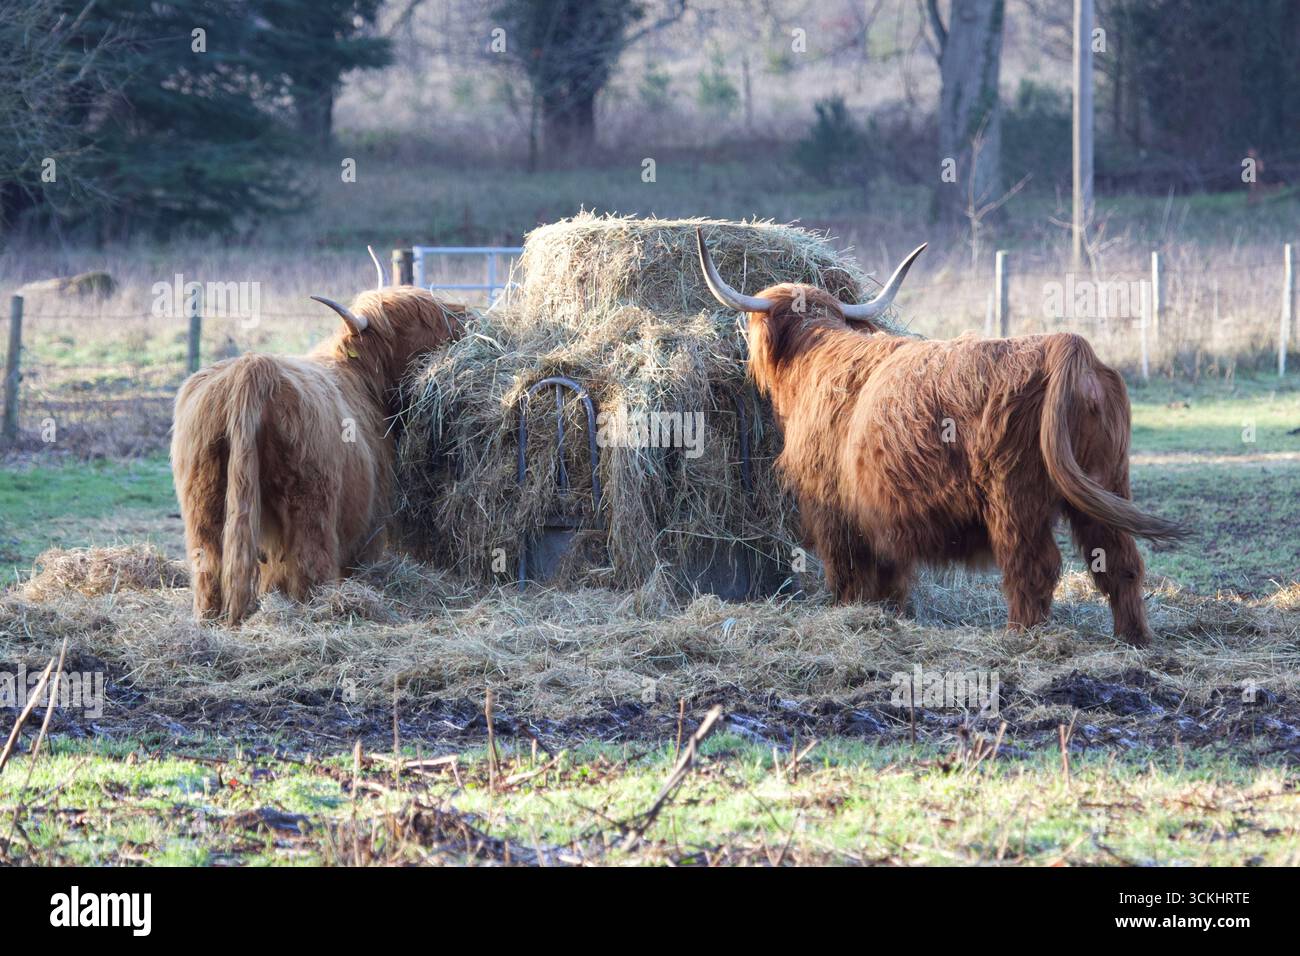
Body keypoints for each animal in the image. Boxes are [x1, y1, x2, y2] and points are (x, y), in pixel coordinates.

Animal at [171, 265, 463, 625]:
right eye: (422, 319)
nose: (467, 320)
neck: (364, 379)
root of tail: (254, 368)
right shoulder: (372, 520)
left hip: (203, 499)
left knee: (208, 562)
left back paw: (210, 618)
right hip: (311, 502)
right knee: (312, 560)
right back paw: (322, 610)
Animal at [696, 229, 1183, 645]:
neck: (816, 359)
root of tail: (1064, 345)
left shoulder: (831, 508)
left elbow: (848, 576)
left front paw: (847, 615)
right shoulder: (881, 517)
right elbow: (889, 580)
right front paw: (889, 615)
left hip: (1013, 497)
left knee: (1033, 567)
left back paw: (1018, 636)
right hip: (1104, 484)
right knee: (1121, 562)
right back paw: (1133, 639)